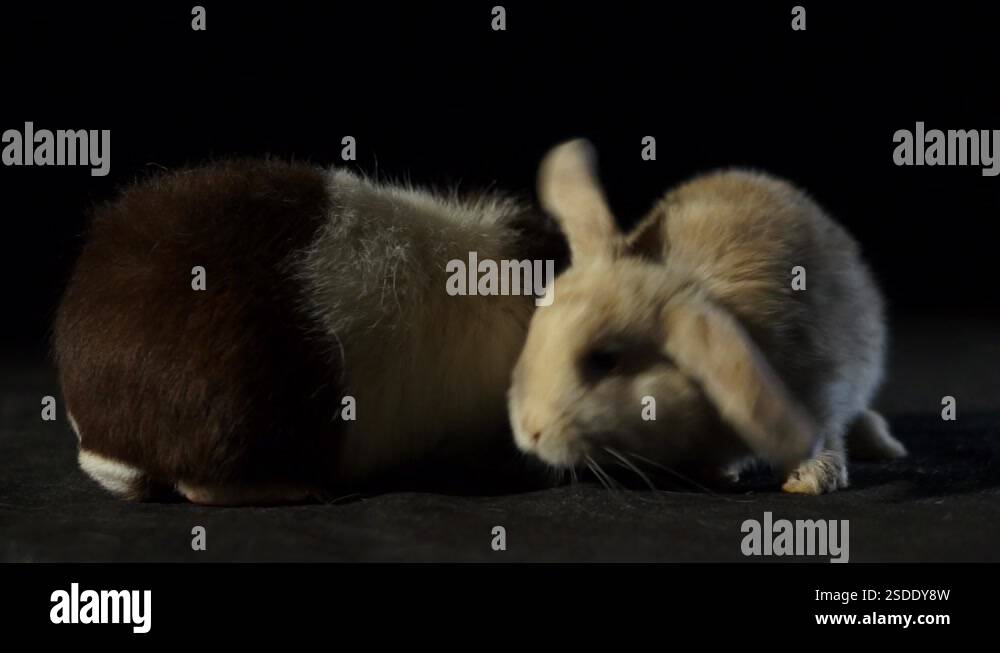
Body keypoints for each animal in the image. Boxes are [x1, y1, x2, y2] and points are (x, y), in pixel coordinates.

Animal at [507, 140, 907, 494]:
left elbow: (825, 430)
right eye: (534, 333)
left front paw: (811, 479)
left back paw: (885, 446)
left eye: (605, 360)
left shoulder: (823, 382)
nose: (529, 432)